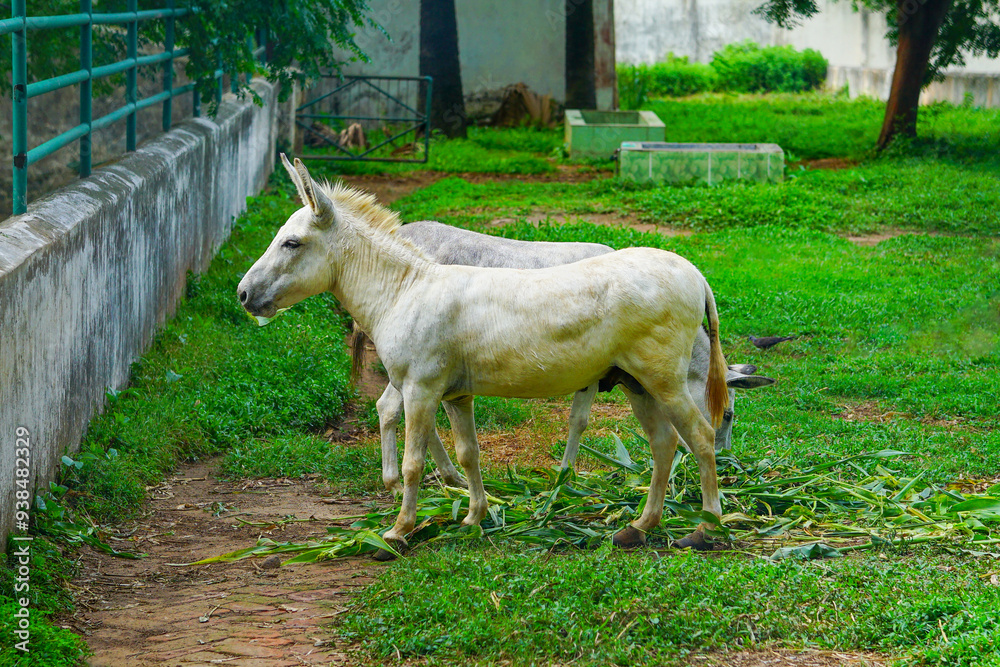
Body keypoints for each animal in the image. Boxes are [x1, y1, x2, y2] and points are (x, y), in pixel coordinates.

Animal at [239, 156, 730, 557]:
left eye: (292, 243)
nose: (244, 295)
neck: (405, 290)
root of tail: (696, 272)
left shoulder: (421, 390)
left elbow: (415, 463)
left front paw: (399, 532)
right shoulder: (456, 396)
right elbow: (469, 453)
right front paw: (475, 517)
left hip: (665, 381)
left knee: (700, 438)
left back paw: (705, 530)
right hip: (637, 383)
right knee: (665, 444)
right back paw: (639, 527)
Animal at [362, 221, 776, 494]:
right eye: (728, 415)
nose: (726, 464)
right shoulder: (591, 373)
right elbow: (579, 421)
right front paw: (565, 476)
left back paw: (448, 478)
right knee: (390, 408)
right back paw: (403, 482)